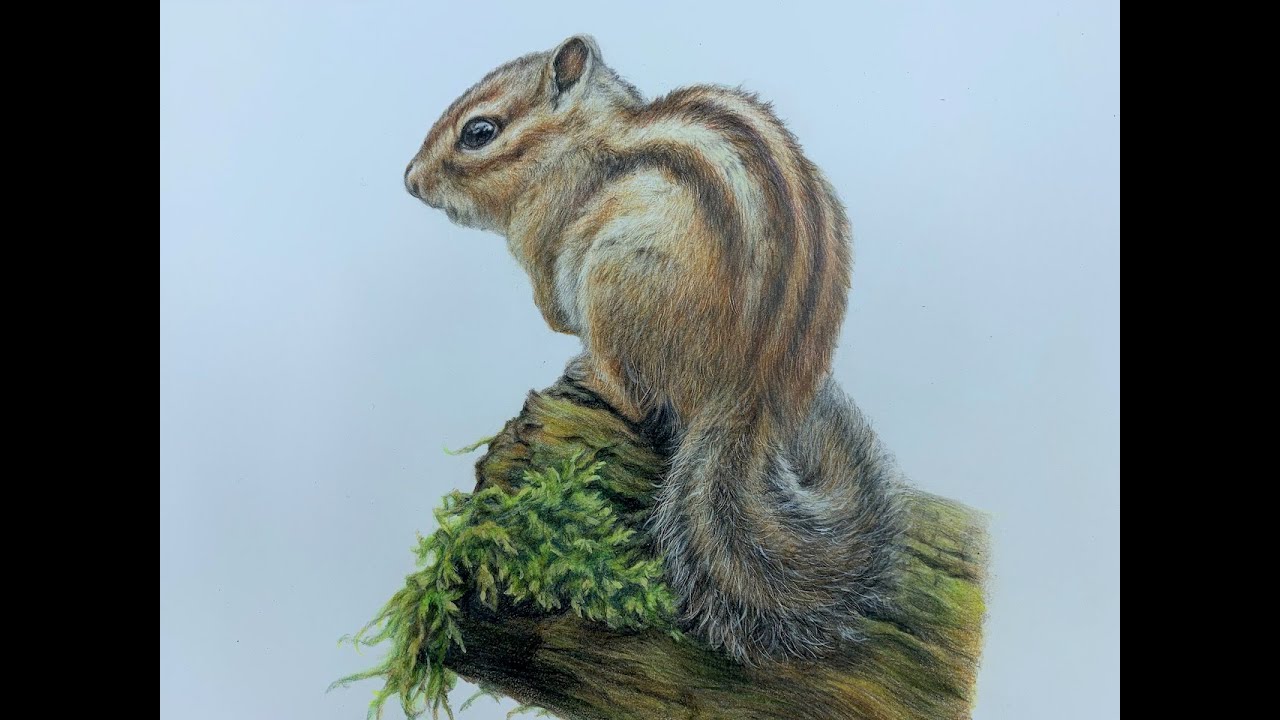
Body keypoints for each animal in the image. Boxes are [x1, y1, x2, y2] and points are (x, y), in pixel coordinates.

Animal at [404, 35, 907, 665]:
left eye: (478, 132)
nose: (409, 180)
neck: (580, 141)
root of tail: (749, 391)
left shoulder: (546, 232)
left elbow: (551, 300)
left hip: (617, 279)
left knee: (639, 400)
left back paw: (590, 376)